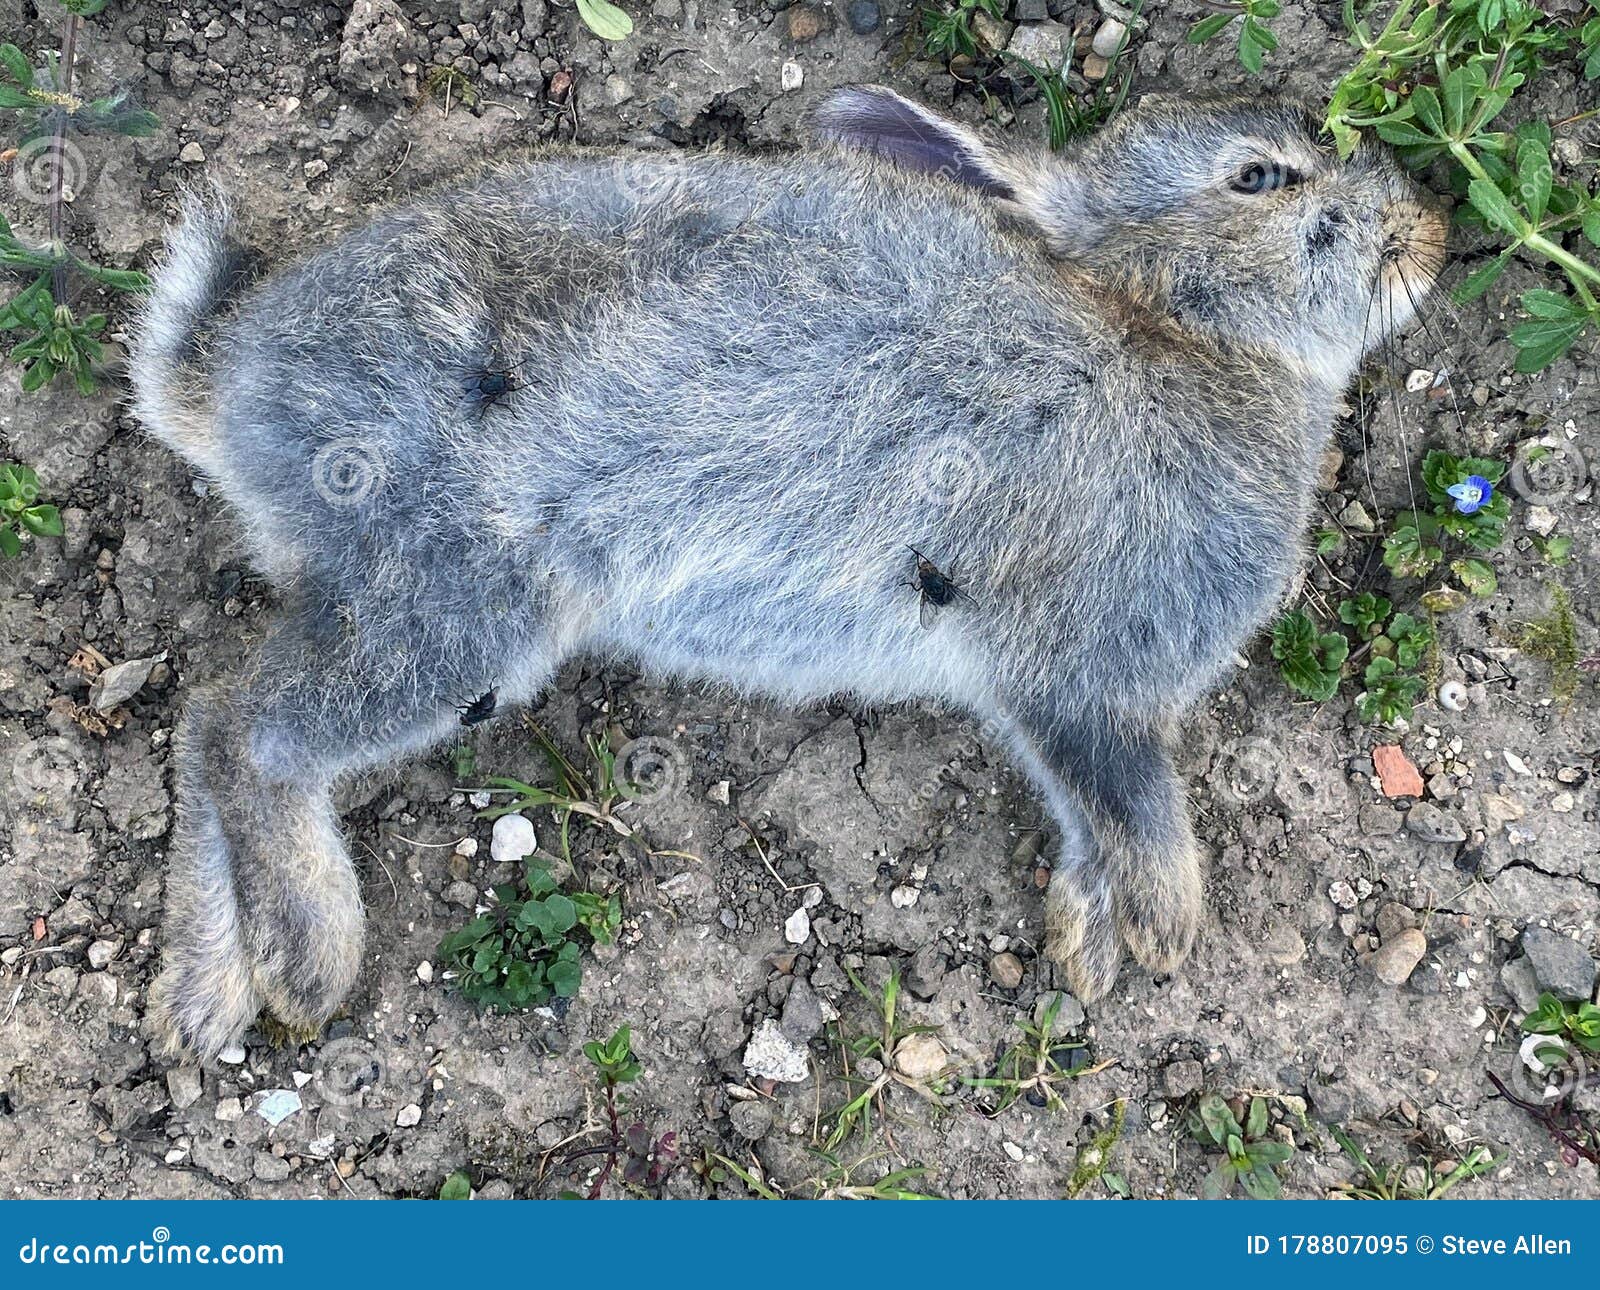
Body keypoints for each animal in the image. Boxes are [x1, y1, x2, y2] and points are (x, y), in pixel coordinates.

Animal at [129, 85, 1447, 1060]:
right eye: (1262, 179)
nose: (1429, 226)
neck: (1178, 328)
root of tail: (216, 390)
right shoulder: (1092, 687)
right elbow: (1137, 812)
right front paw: (1163, 936)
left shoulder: (1047, 704)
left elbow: (1084, 821)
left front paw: (1084, 945)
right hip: (451, 602)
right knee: (246, 731)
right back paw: (304, 961)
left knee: (207, 725)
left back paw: (201, 1001)